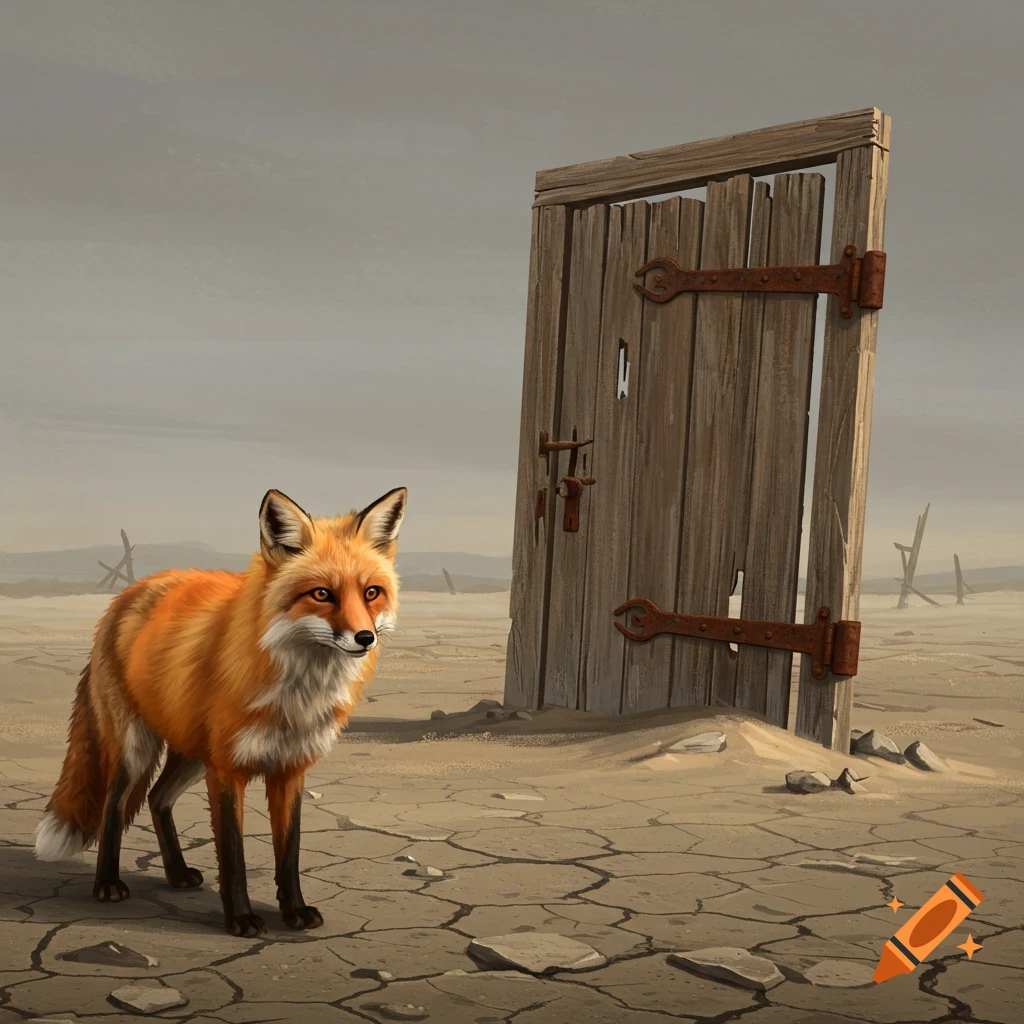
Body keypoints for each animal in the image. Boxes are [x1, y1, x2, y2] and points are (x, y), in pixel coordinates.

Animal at [34, 486, 407, 937]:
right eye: (322, 594)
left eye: (371, 592)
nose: (365, 637)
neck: (296, 693)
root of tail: (128, 593)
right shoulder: (228, 769)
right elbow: (232, 854)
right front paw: (241, 919)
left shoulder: (290, 768)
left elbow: (290, 852)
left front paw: (294, 911)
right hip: (138, 748)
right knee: (113, 804)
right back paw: (107, 884)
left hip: (193, 754)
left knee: (157, 798)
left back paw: (176, 874)